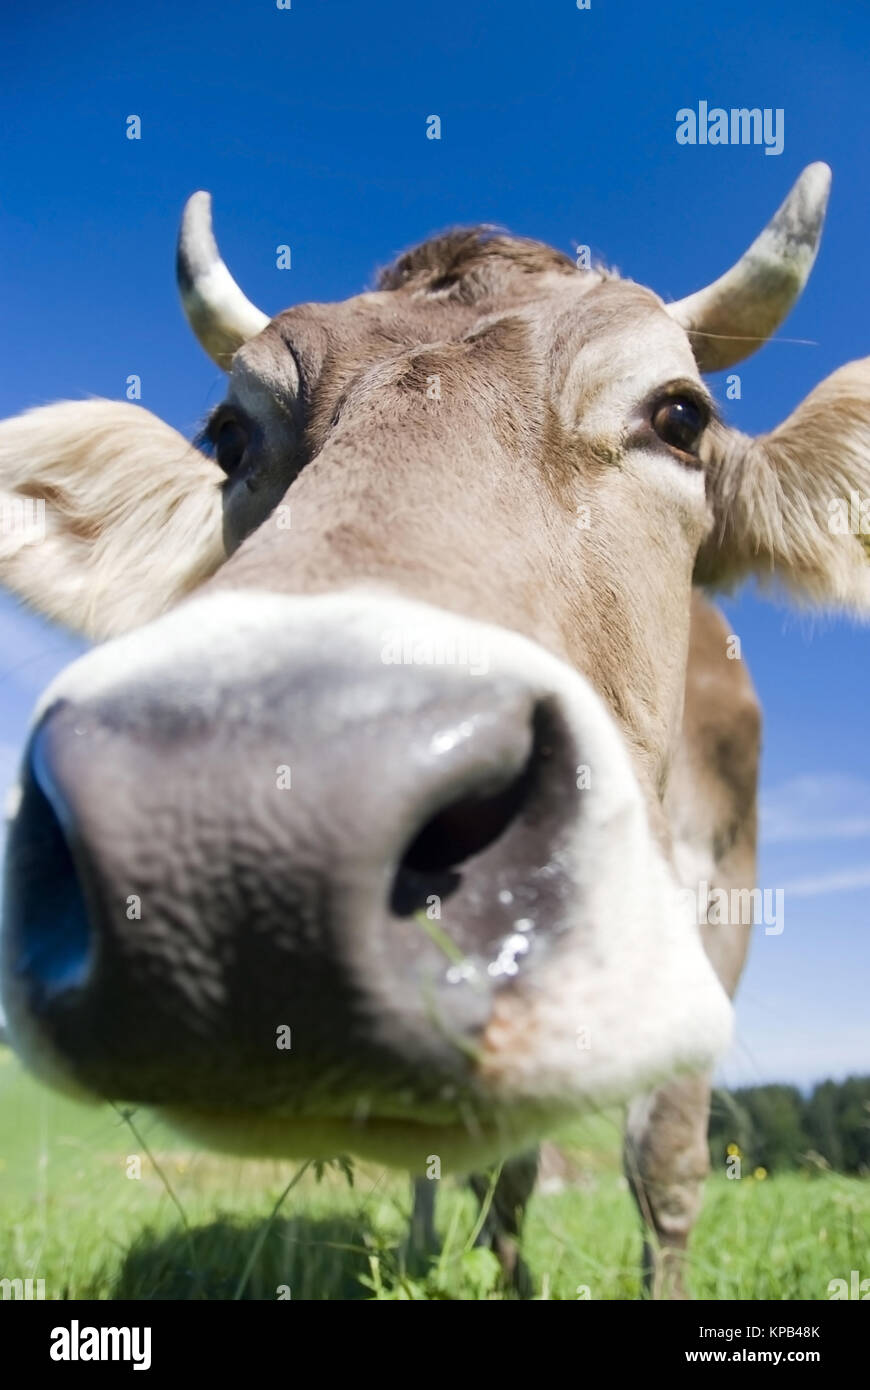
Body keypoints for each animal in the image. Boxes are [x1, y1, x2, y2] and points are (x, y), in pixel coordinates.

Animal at [1, 162, 867, 1298]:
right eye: (230, 436)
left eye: (680, 416)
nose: (232, 845)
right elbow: (503, 1169)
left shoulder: (720, 905)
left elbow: (665, 1160)